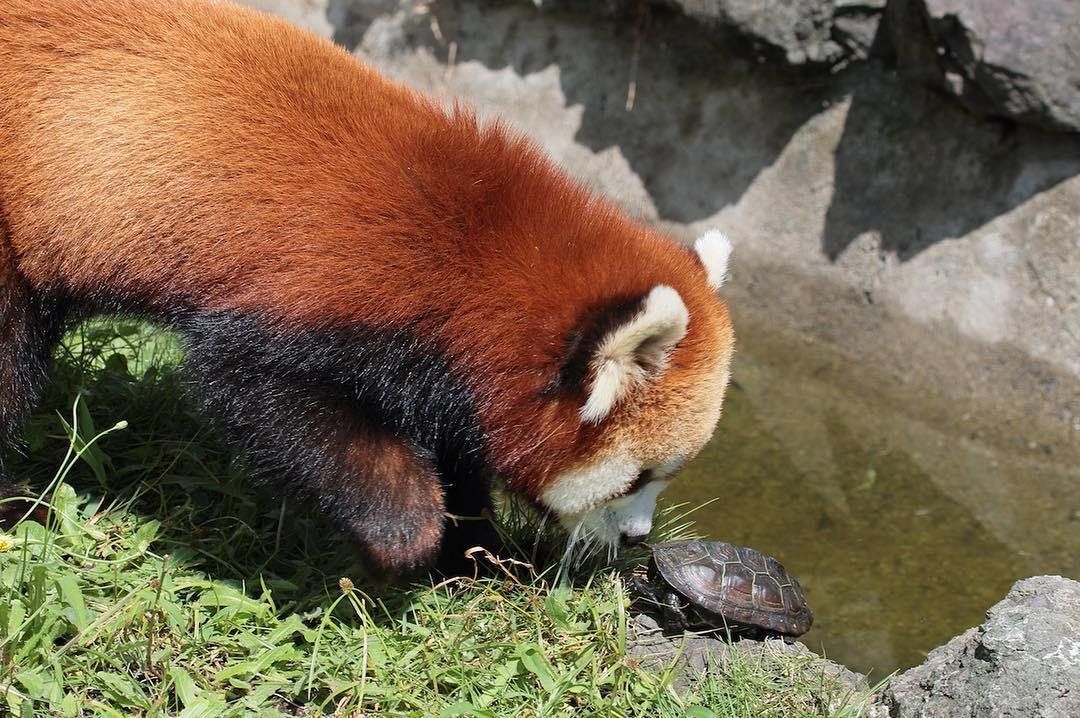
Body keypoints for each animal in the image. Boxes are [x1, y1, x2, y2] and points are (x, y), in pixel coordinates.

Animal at [0, 0, 735, 575]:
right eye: (638, 477)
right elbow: (260, 391)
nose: (638, 537)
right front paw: (406, 532)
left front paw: (478, 554)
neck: (481, 242)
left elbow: (456, 444)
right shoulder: (327, 296)